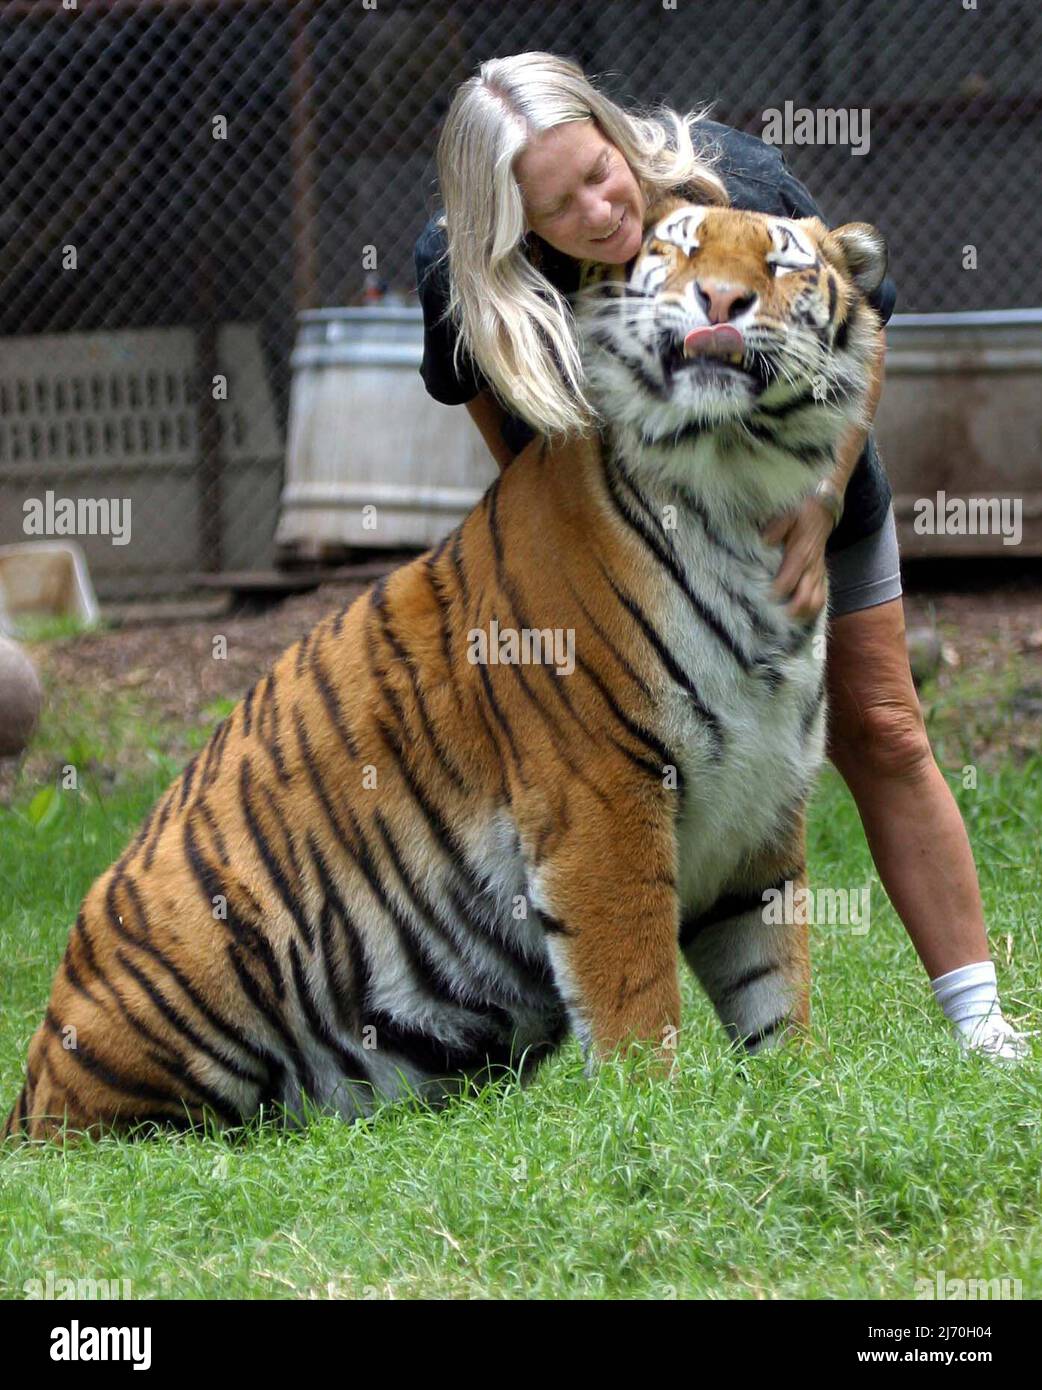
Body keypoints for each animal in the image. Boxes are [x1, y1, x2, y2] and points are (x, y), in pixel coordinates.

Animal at [2, 194, 887, 1143]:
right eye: (678, 251)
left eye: (782, 263)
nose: (722, 300)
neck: (740, 482)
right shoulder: (602, 791)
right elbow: (635, 987)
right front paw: (655, 1111)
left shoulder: (761, 804)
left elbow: (774, 976)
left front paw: (799, 1090)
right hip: (192, 947)